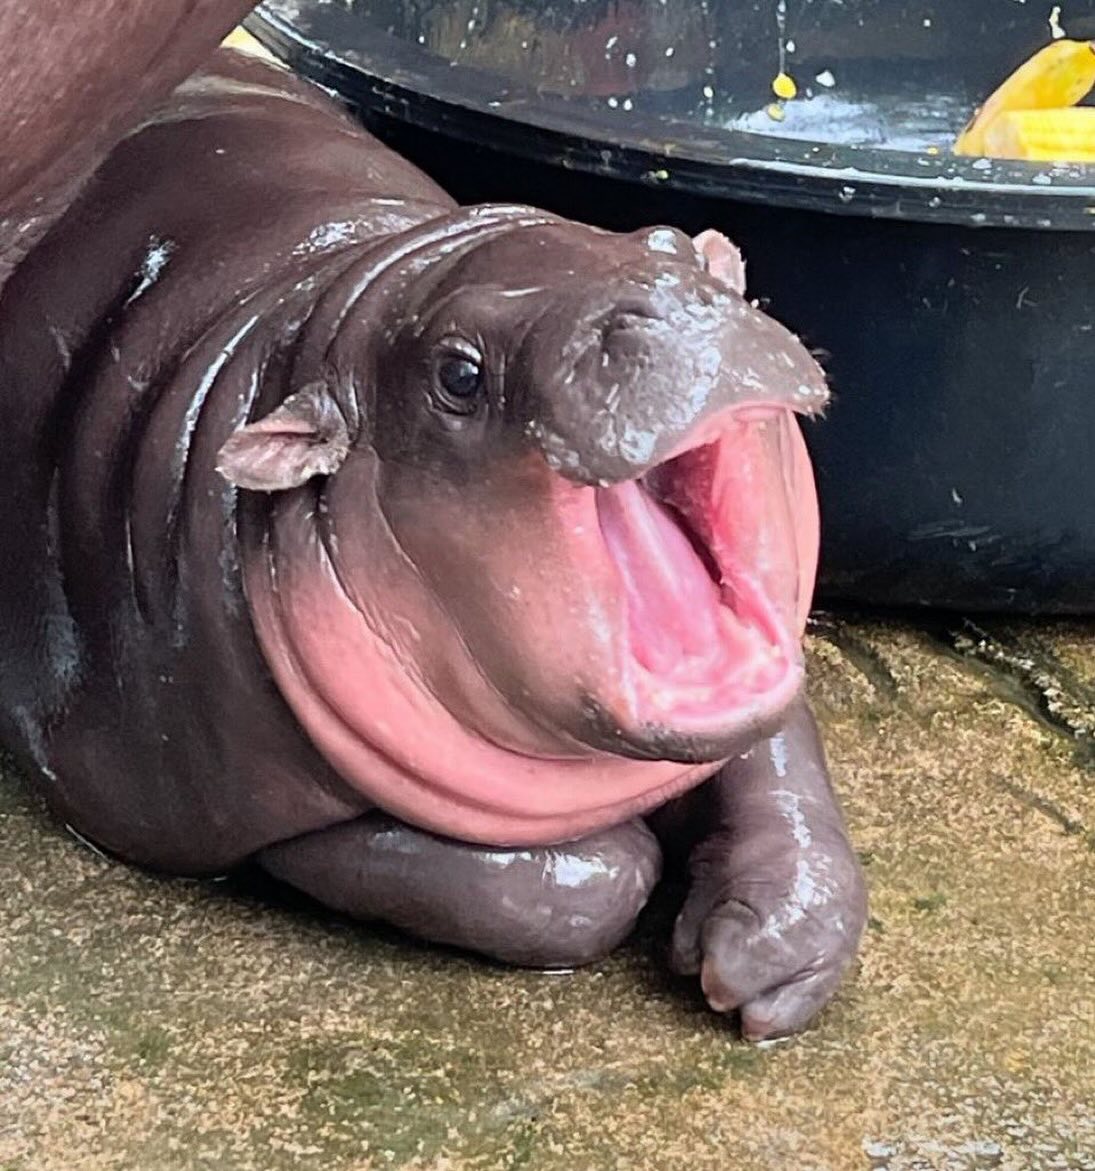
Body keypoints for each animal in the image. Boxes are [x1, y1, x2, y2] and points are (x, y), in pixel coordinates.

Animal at [0, 1, 866, 1040]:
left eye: (676, 247)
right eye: (458, 373)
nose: (668, 302)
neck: (330, 301)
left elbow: (775, 748)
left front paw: (763, 947)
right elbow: (571, 882)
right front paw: (636, 869)